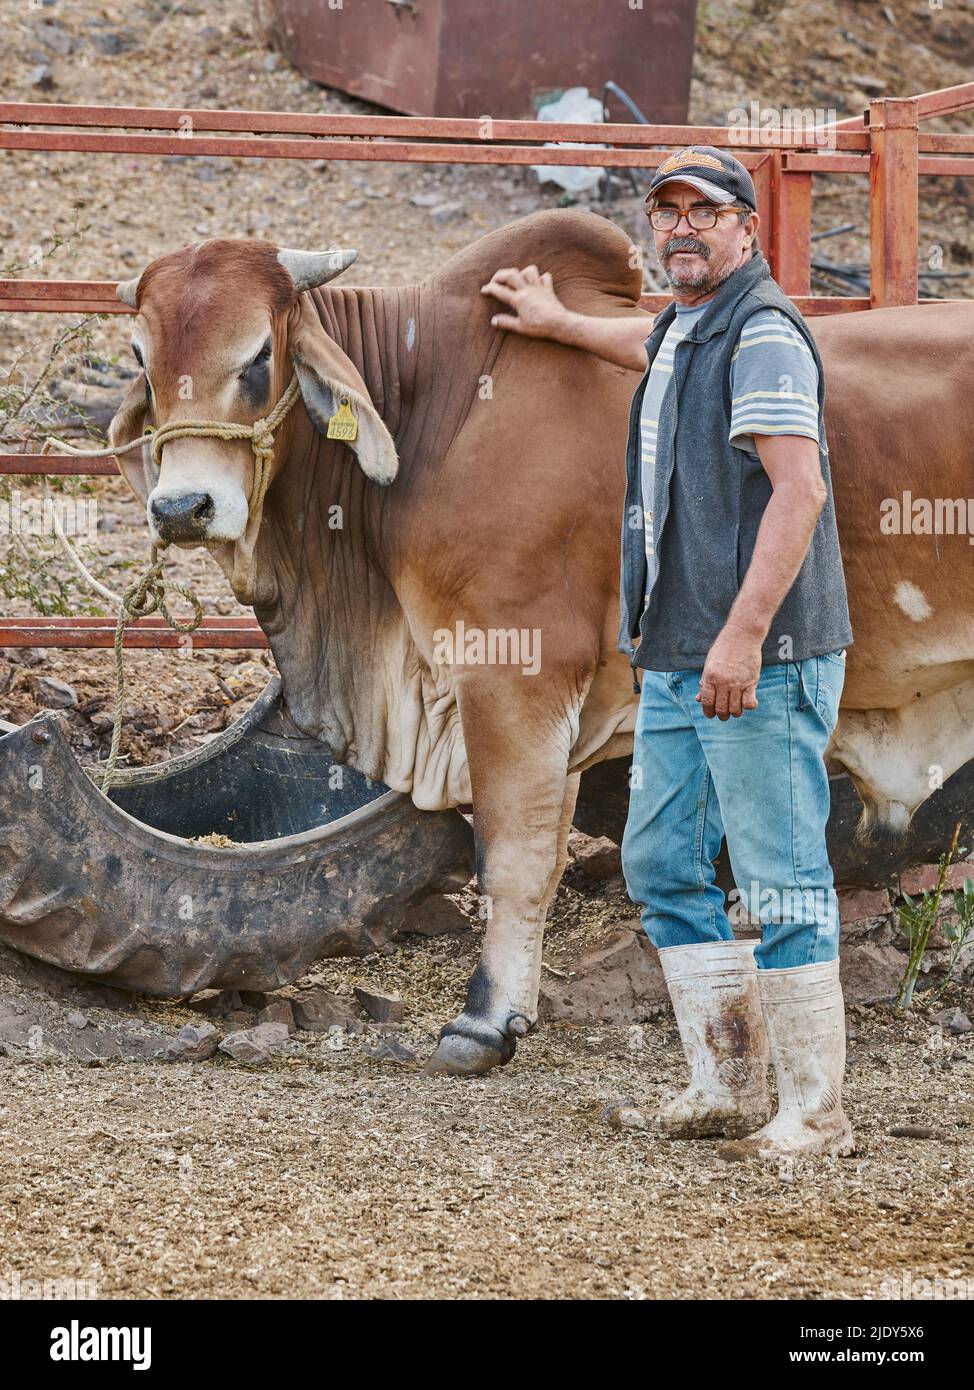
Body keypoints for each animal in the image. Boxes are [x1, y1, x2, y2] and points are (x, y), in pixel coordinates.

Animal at [108, 209, 974, 1075]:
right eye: (142, 357)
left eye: (259, 354)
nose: (183, 506)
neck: (439, 409)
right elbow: (547, 853)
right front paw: (514, 1010)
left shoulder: (511, 674)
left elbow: (514, 859)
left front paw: (483, 1021)